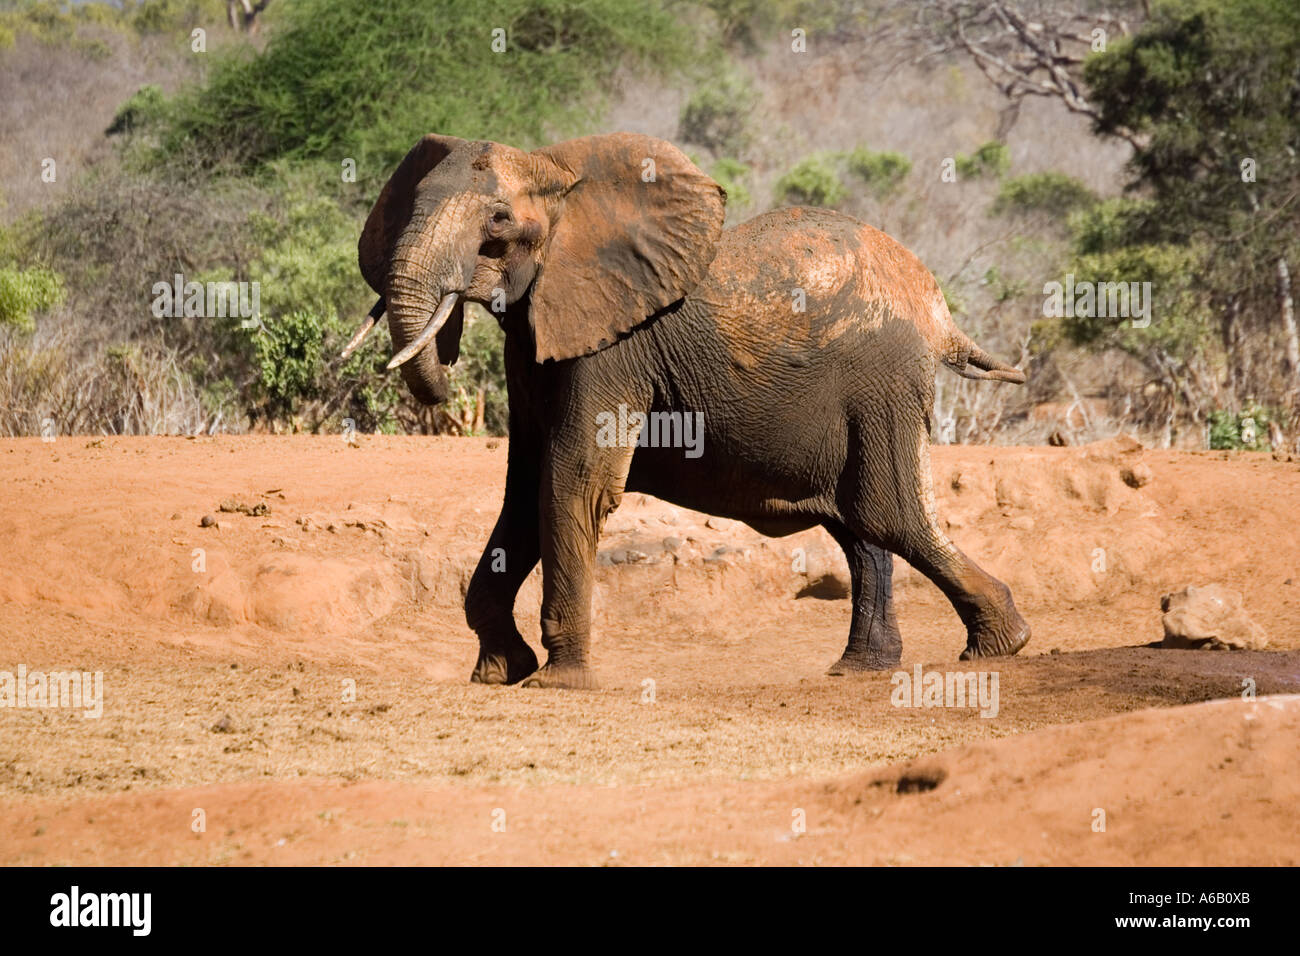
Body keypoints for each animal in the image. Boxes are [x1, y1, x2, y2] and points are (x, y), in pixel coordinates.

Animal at [346, 131, 1031, 688]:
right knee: (860, 525)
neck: (556, 171)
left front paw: (557, 682)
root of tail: (936, 306)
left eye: (497, 223)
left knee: (890, 516)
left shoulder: (615, 345)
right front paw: (498, 672)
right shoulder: (536, 335)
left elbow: (572, 480)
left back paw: (1001, 646)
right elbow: (523, 487)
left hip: (880, 384)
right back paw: (860, 668)